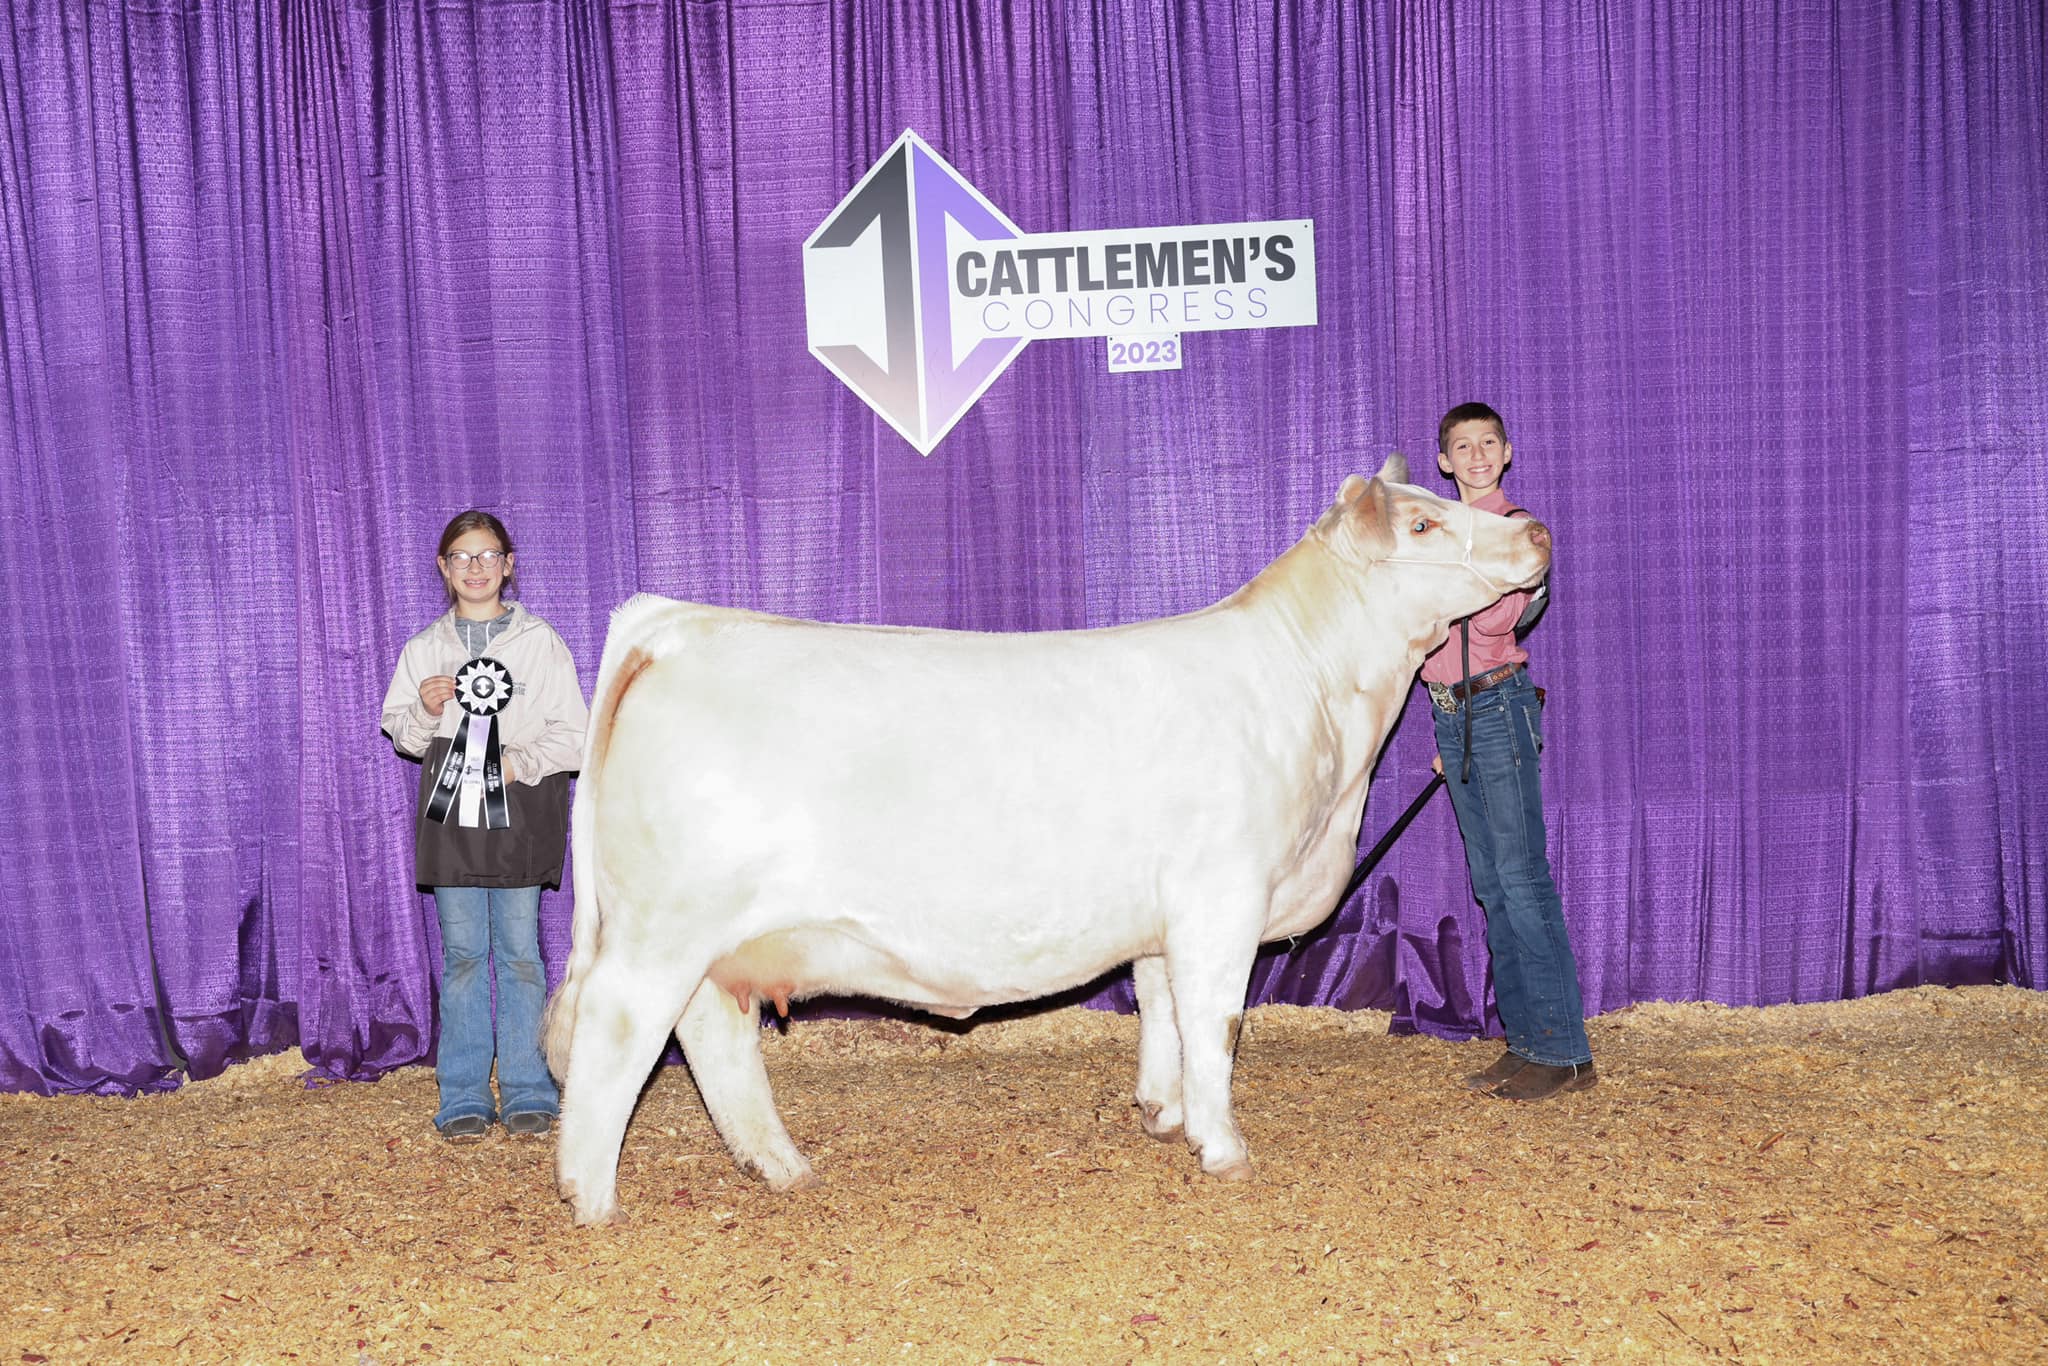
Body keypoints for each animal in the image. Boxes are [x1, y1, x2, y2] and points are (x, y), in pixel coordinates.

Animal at [542, 453, 1551, 1224]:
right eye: (1422, 525)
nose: (1537, 532)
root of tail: (675, 624)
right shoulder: (1221, 897)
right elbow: (1216, 1021)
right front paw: (1222, 1146)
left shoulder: (1164, 916)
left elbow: (1163, 1011)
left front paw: (1163, 1113)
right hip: (665, 924)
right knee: (617, 1028)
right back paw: (592, 1197)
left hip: (713, 940)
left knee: (711, 1035)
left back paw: (780, 1165)